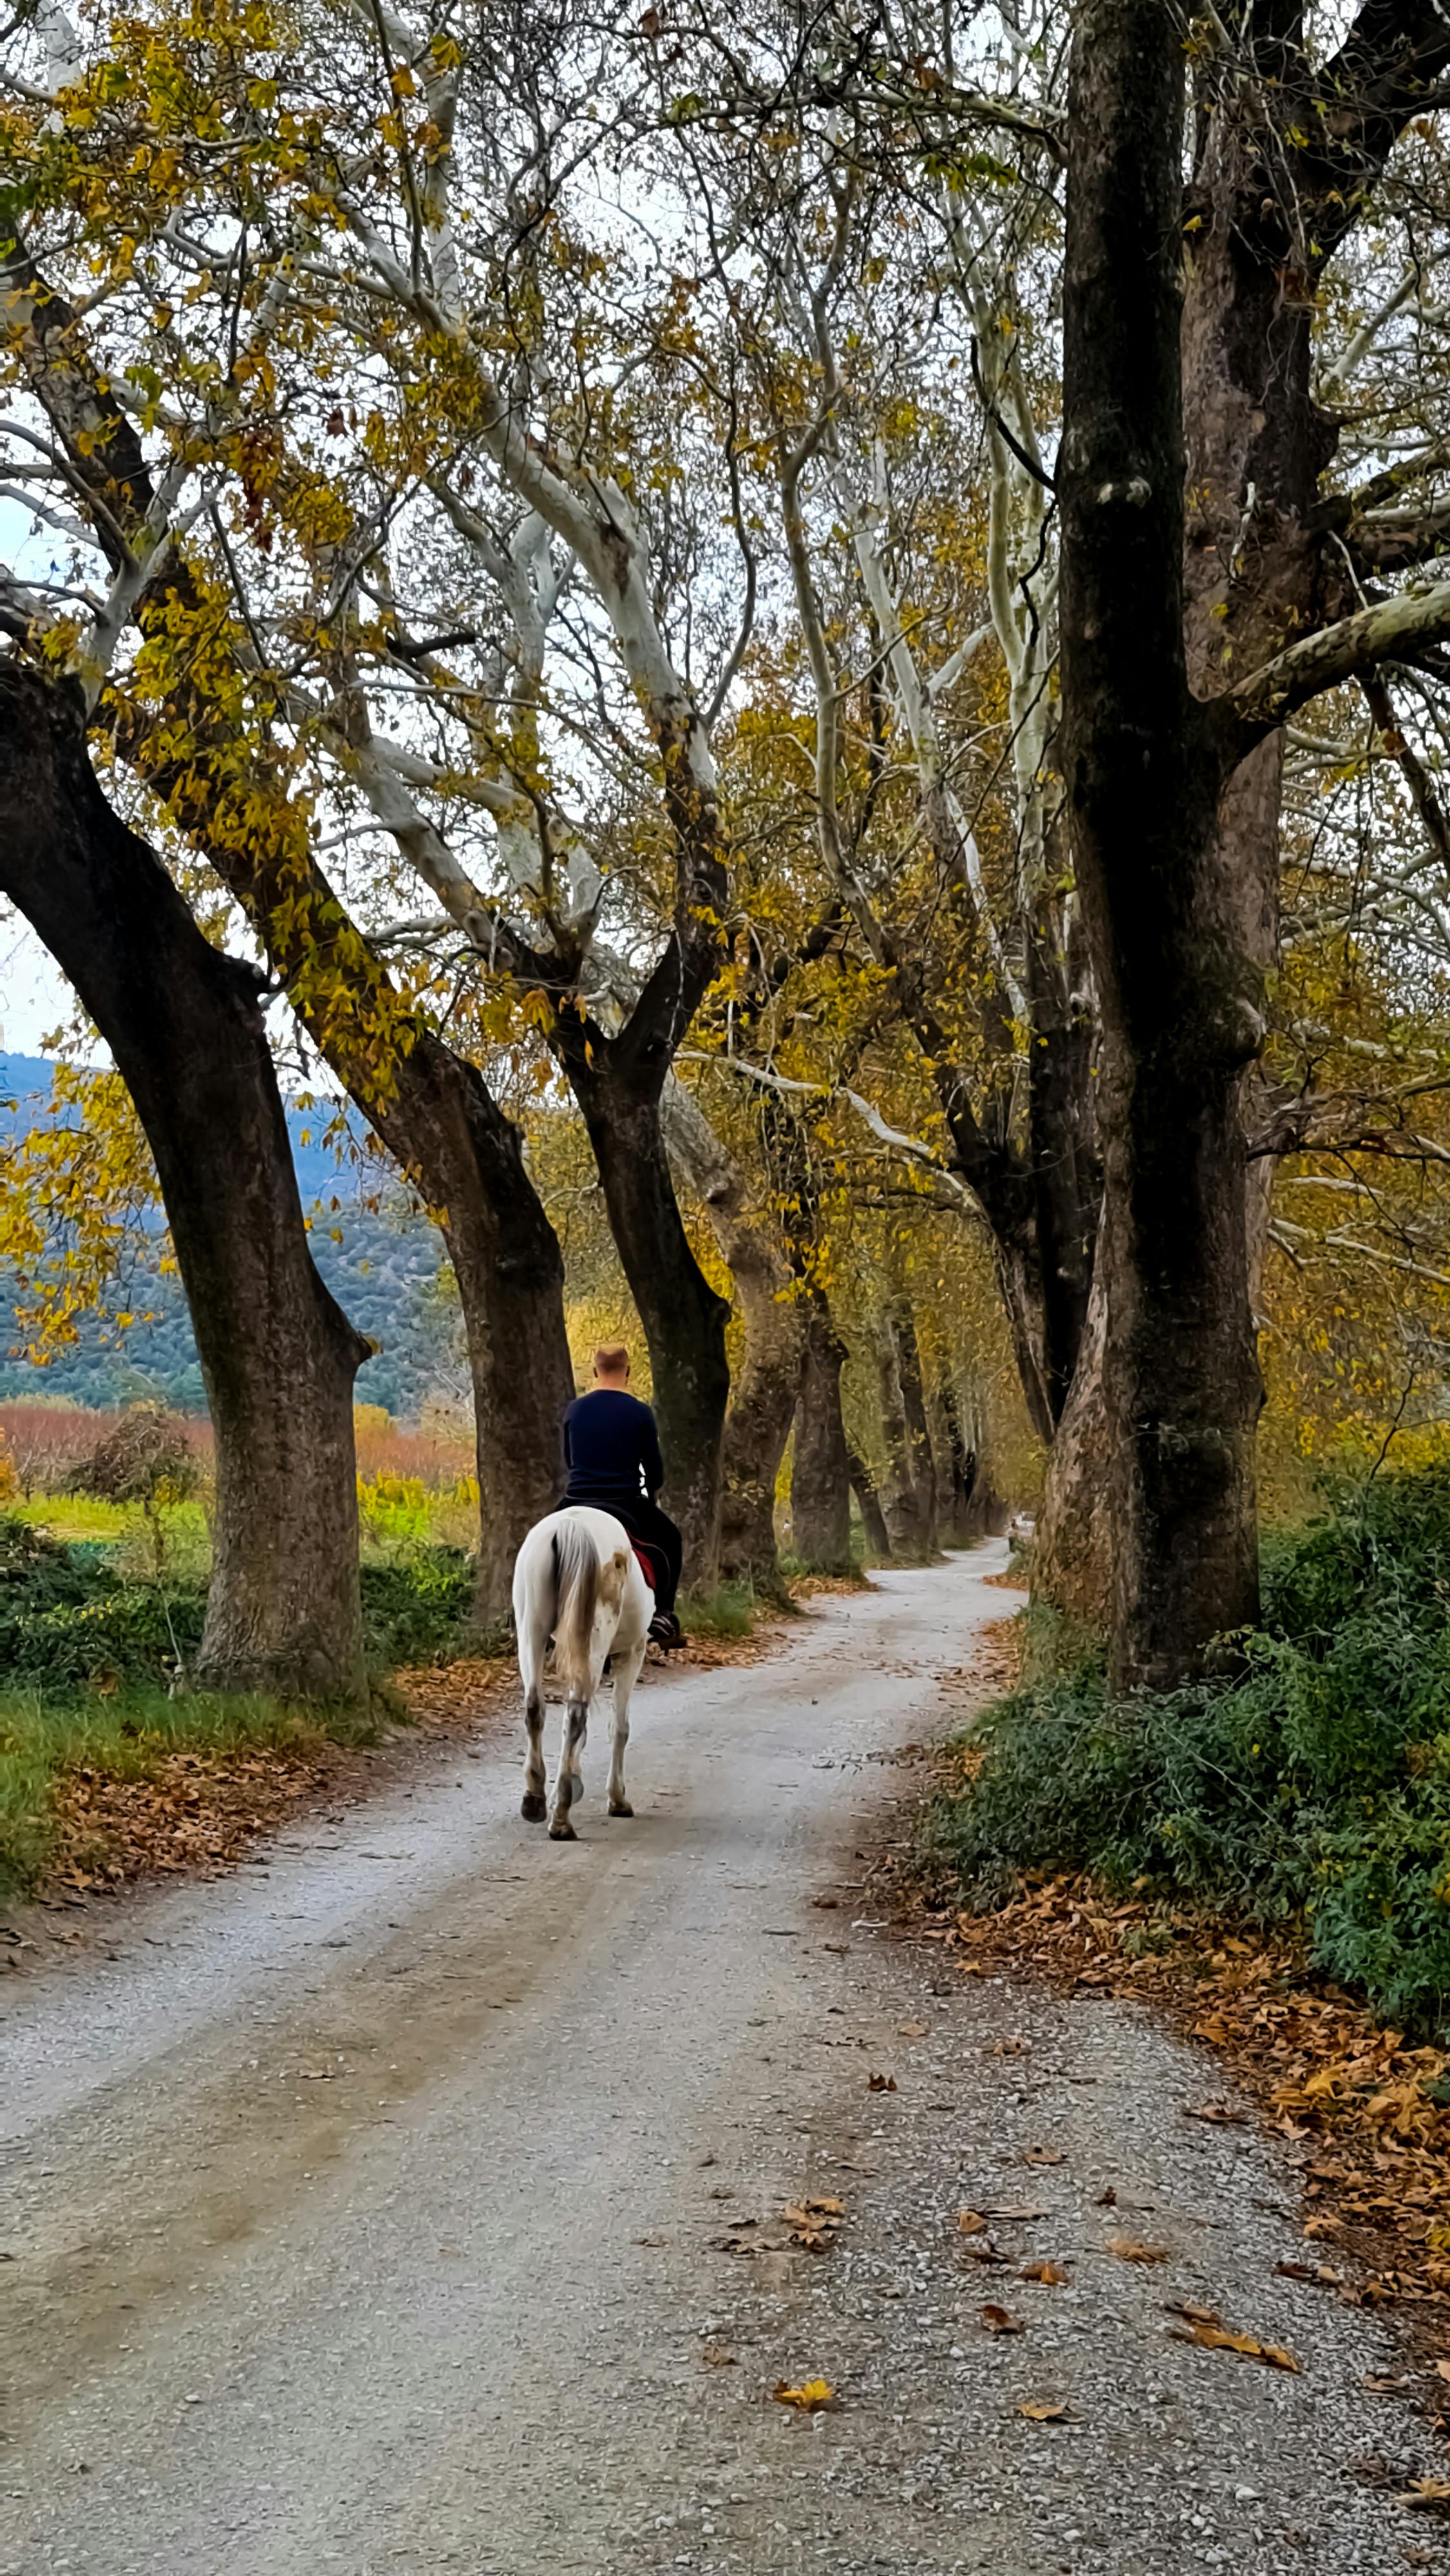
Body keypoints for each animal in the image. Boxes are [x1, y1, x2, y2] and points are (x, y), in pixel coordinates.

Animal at [511, 1505, 654, 1840]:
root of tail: (571, 1527)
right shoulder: (632, 1653)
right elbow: (619, 1728)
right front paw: (617, 1799)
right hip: (595, 1640)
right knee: (577, 1714)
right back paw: (562, 1817)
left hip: (531, 1632)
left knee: (535, 1708)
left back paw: (536, 1798)